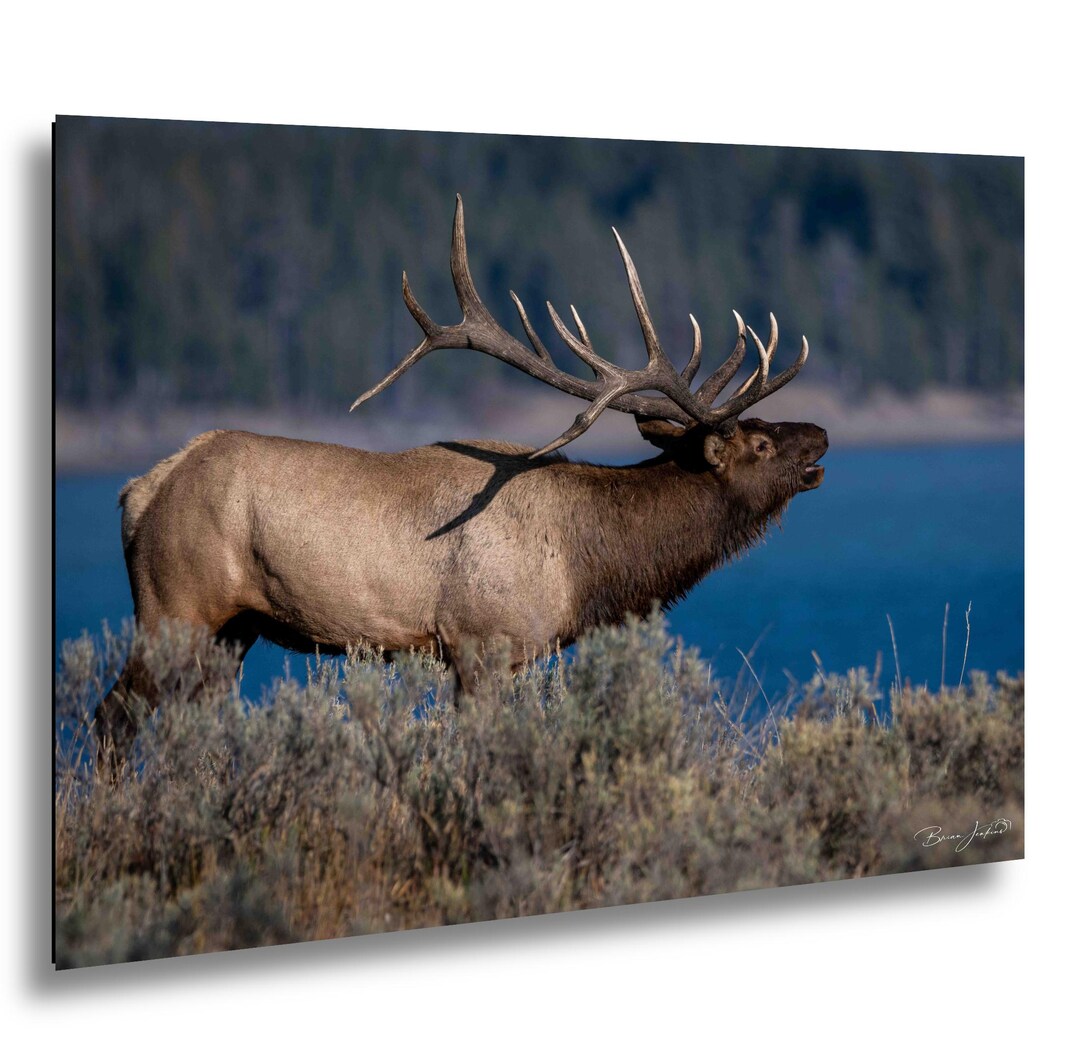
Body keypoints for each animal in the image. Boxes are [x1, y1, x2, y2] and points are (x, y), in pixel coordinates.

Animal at [94, 195, 828, 764]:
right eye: (762, 442)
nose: (821, 434)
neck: (586, 563)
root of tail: (138, 492)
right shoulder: (481, 642)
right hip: (173, 607)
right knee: (113, 715)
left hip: (233, 629)